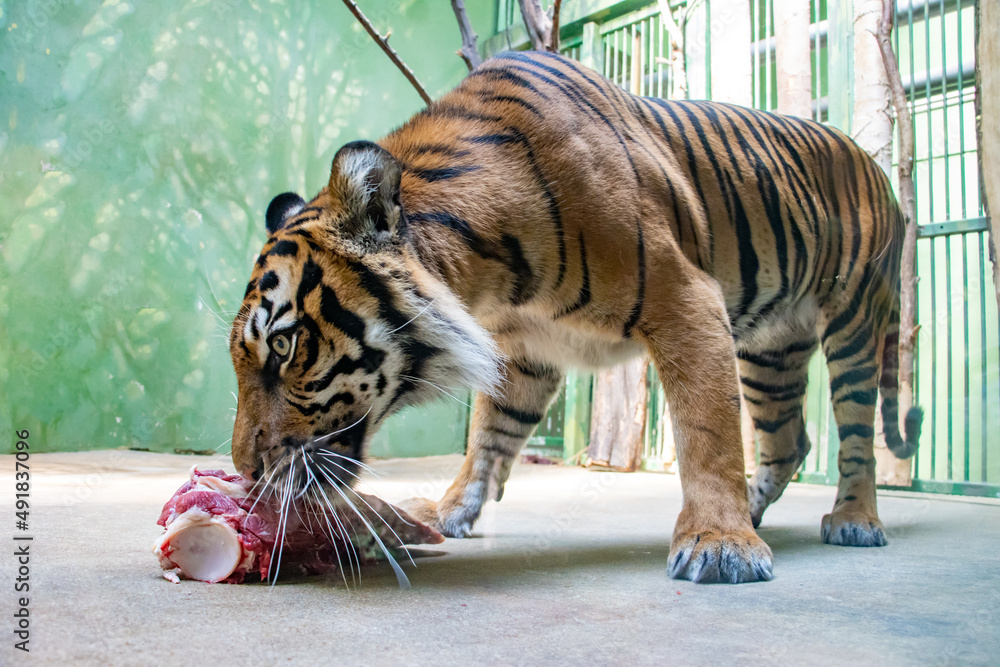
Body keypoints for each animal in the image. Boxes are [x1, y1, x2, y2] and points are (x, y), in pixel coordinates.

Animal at [228, 50, 922, 584]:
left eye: (285, 347)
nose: (246, 474)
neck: (488, 281)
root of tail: (878, 167)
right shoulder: (525, 351)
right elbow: (489, 437)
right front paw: (447, 512)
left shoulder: (688, 299)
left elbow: (707, 431)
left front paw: (720, 545)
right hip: (770, 349)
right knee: (790, 438)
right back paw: (754, 508)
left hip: (854, 324)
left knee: (856, 435)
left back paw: (853, 520)